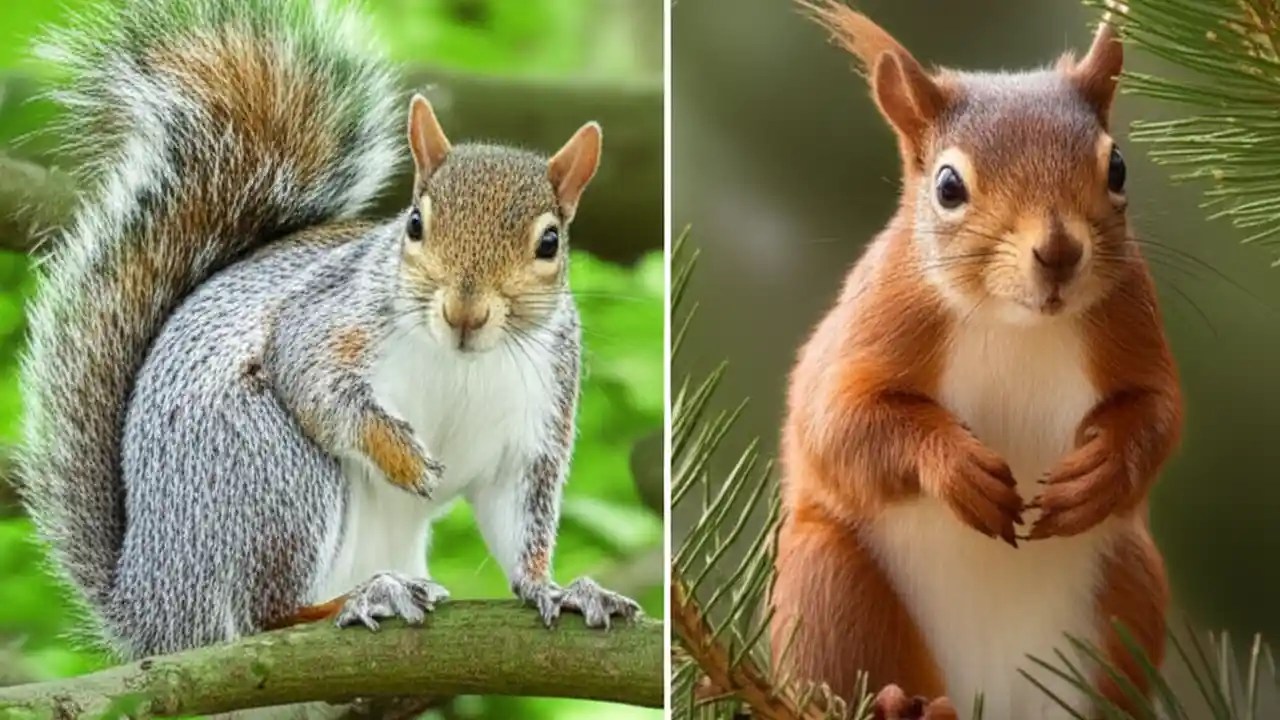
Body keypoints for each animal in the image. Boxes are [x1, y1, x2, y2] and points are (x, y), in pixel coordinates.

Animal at [15, 0, 640, 663]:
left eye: (550, 242)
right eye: (414, 223)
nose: (464, 313)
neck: (462, 361)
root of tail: (151, 611)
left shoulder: (537, 419)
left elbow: (520, 520)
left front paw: (557, 589)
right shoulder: (327, 317)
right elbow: (308, 375)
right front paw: (402, 457)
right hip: (272, 476)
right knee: (265, 614)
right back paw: (362, 597)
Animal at [770, 3, 1183, 719]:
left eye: (1118, 168)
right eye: (947, 186)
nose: (1058, 252)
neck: (1014, 322)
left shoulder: (1133, 319)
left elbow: (1158, 411)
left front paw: (1104, 467)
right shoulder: (872, 326)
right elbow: (837, 422)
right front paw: (953, 465)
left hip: (1131, 589)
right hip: (828, 586)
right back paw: (896, 707)